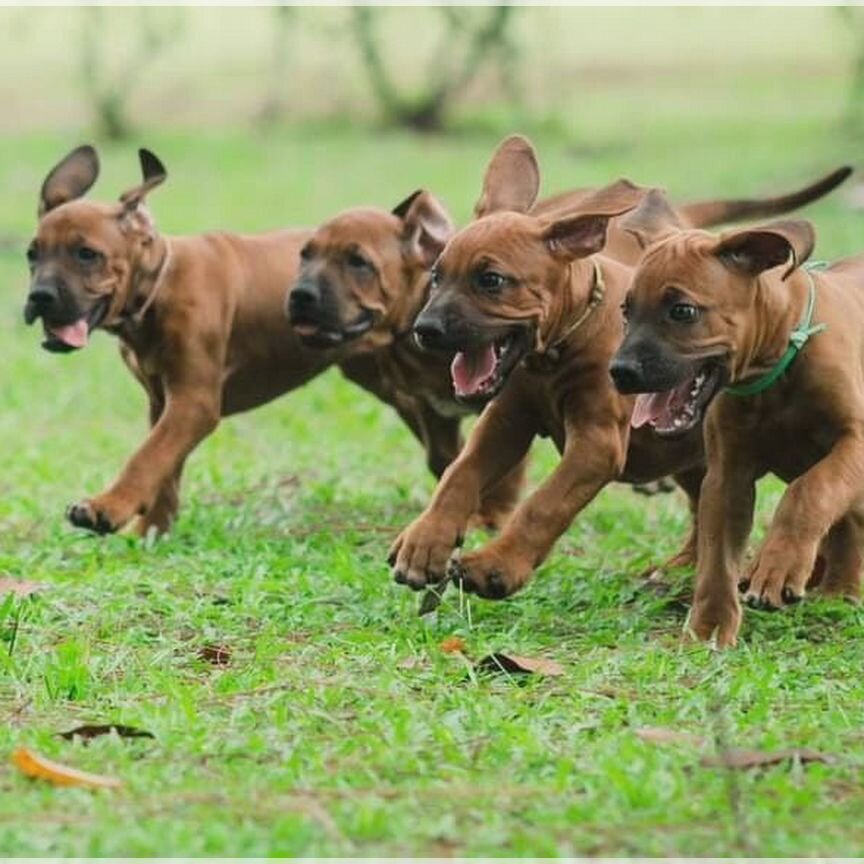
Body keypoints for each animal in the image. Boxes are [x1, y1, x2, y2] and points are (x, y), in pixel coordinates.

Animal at [23, 147, 372, 540]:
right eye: (32, 254)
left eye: (86, 254)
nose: (39, 297)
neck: (158, 288)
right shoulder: (163, 402)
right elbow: (164, 465)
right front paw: (152, 530)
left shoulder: (194, 402)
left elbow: (146, 457)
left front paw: (107, 507)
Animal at [388, 142, 712, 600]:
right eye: (436, 276)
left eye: (491, 280)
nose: (424, 330)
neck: (553, 355)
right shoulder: (503, 423)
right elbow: (458, 474)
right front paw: (425, 541)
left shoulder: (596, 443)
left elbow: (545, 503)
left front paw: (497, 565)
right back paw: (683, 567)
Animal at [612, 218, 864, 648]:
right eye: (625, 310)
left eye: (682, 311)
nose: (620, 371)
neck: (777, 370)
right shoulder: (727, 478)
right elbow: (716, 563)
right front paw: (708, 630)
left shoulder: (854, 442)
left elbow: (811, 490)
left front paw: (780, 565)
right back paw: (838, 591)